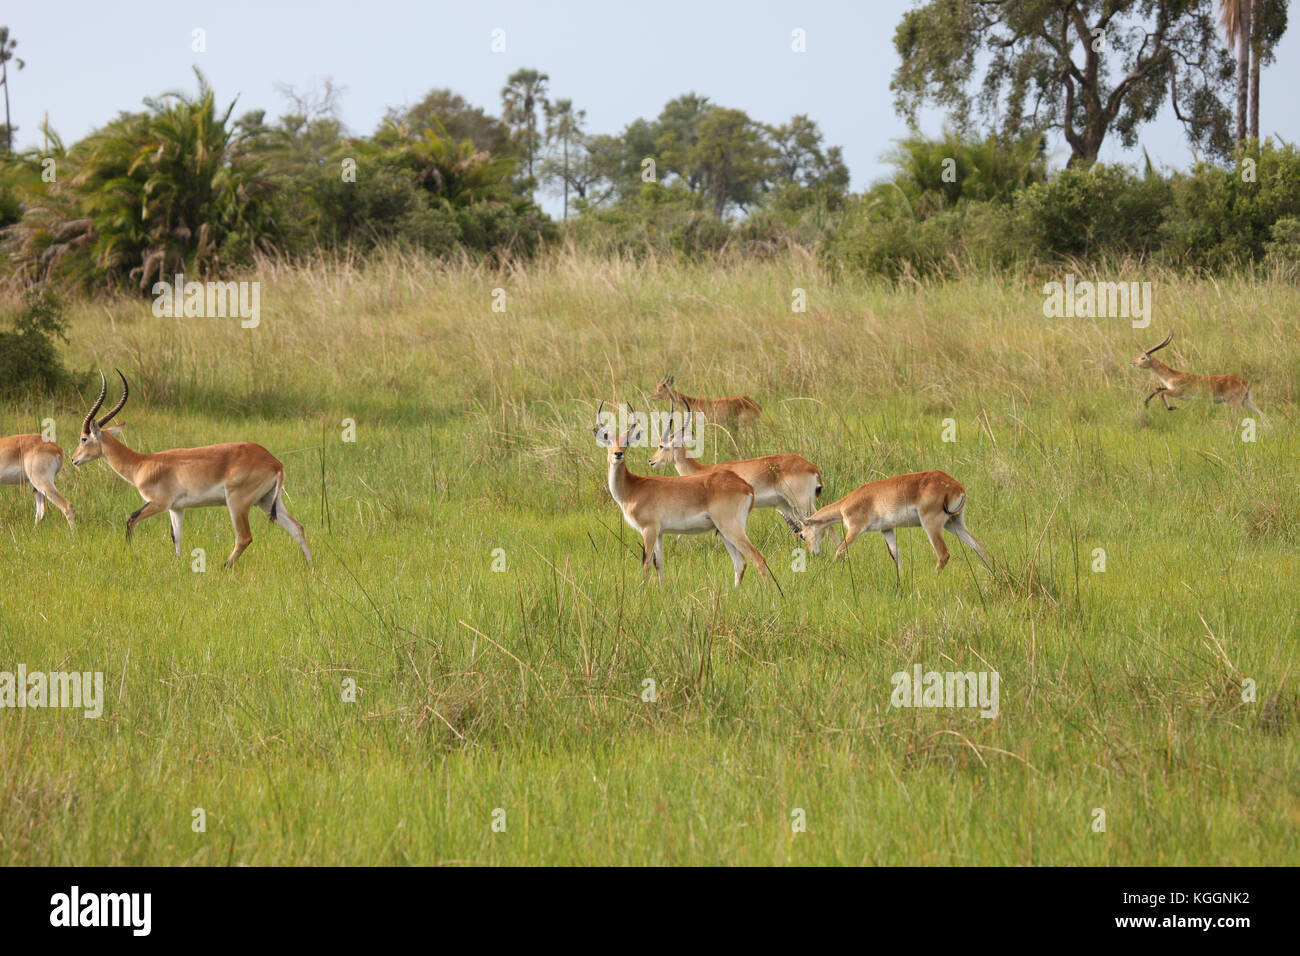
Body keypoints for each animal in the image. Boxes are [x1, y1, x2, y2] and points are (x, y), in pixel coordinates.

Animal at [71, 370, 312, 568]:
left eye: (84, 438)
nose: (73, 459)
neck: (142, 463)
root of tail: (274, 461)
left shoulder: (160, 503)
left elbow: (131, 518)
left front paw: (128, 552)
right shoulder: (176, 508)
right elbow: (176, 538)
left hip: (237, 503)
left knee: (245, 537)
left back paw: (224, 567)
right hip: (267, 501)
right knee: (297, 528)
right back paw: (310, 567)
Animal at [594, 401, 776, 589]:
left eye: (627, 441)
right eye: (608, 440)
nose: (618, 454)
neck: (632, 488)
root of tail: (745, 486)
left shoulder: (648, 530)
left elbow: (646, 563)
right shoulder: (659, 532)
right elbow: (659, 563)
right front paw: (661, 590)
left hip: (731, 528)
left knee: (758, 558)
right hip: (723, 532)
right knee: (740, 563)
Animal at [648, 398, 824, 547]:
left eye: (661, 445)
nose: (651, 461)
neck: (704, 470)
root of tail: (812, 466)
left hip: (802, 502)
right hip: (787, 504)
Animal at [796, 470, 991, 573]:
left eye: (802, 535)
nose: (813, 554)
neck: (846, 504)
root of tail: (957, 487)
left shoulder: (855, 528)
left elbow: (840, 550)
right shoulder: (887, 530)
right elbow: (895, 554)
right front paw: (902, 577)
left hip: (931, 524)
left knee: (943, 554)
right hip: (953, 523)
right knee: (979, 544)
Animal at [1132, 333, 1263, 416]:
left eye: (1143, 357)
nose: (1132, 363)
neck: (1172, 376)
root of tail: (1245, 382)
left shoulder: (1178, 393)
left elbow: (1161, 392)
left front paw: (1172, 407)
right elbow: (1158, 389)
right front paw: (1146, 403)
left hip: (1235, 403)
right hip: (1246, 401)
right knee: (1262, 414)